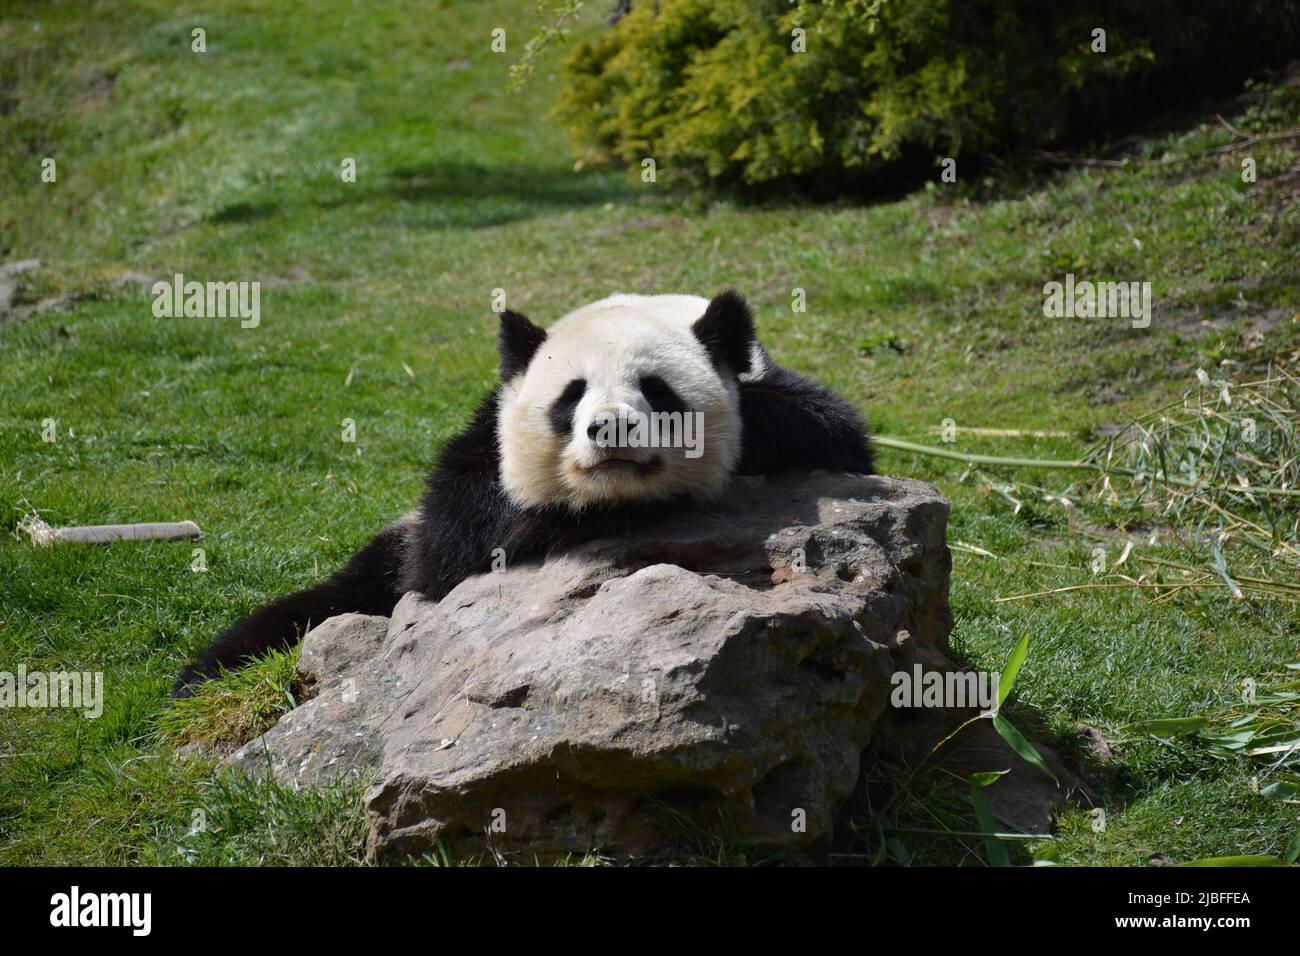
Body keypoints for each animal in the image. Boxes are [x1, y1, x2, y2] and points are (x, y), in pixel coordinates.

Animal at [171, 291, 872, 697]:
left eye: (657, 389)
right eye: (572, 394)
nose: (610, 427)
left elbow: (824, 428)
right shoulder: (482, 435)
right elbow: (451, 542)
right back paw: (202, 681)